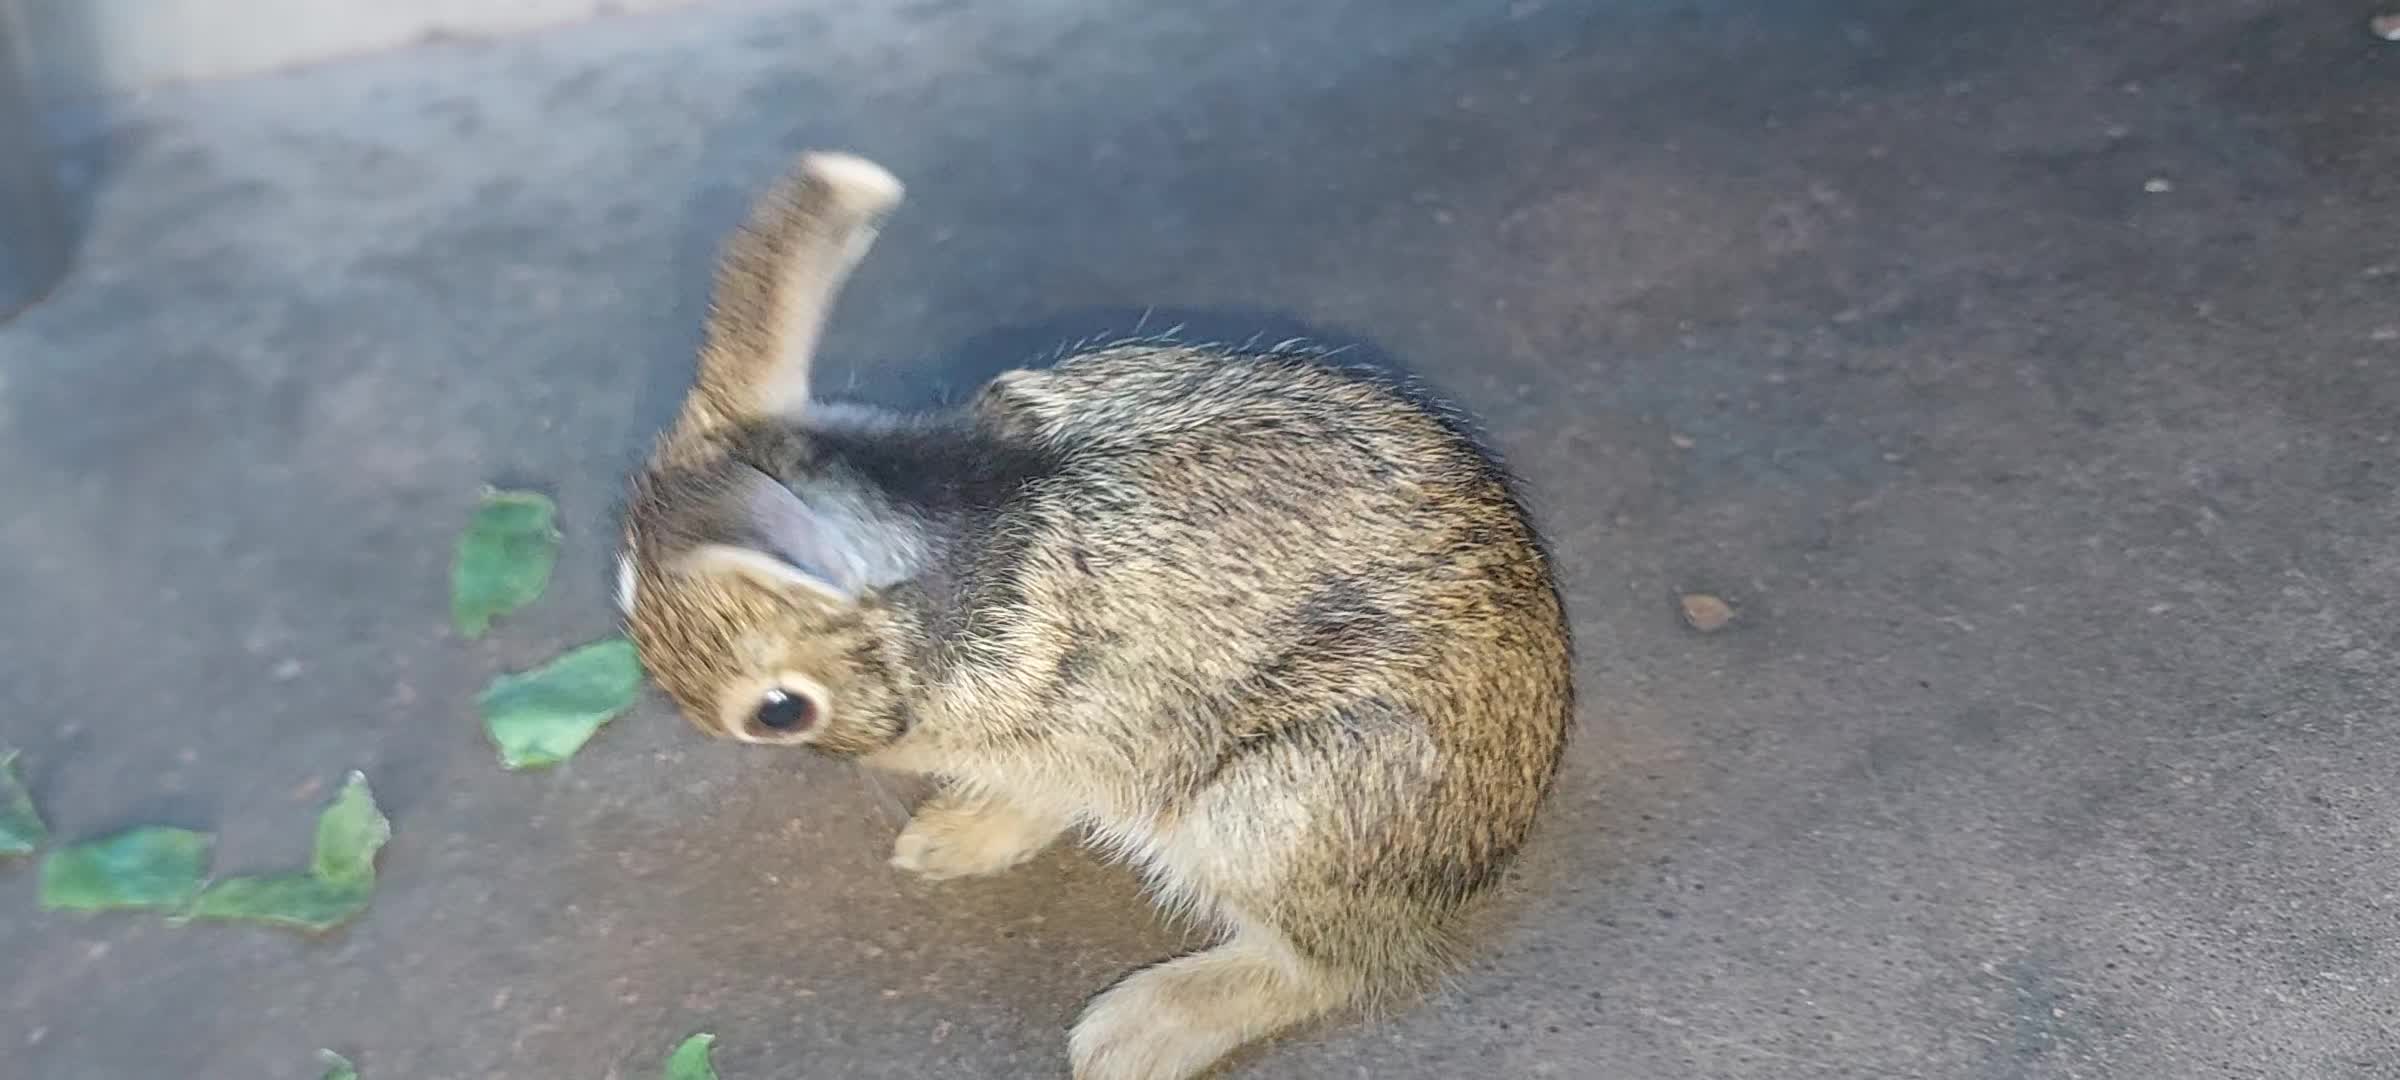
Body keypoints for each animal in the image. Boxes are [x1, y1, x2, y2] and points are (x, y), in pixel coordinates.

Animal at [617, 151, 1575, 1080]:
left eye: (779, 711)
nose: (699, 725)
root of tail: (1498, 842)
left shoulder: (1069, 736)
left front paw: (946, 839)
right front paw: (945, 839)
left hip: (1283, 808)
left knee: (1336, 967)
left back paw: (1134, 1036)